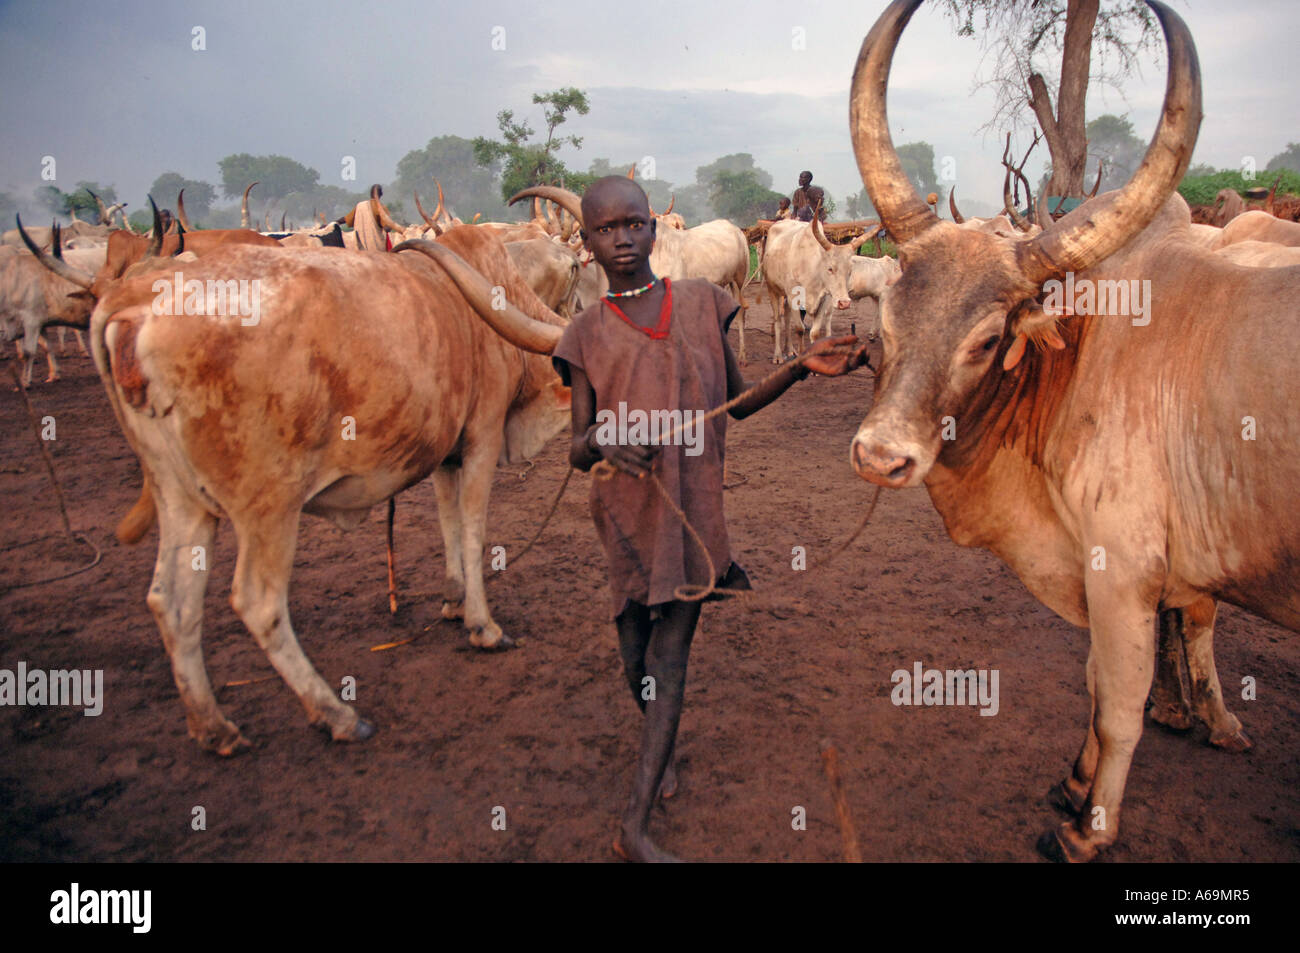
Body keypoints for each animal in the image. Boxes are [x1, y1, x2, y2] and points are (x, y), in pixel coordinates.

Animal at [28, 226, 572, 752]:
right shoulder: (482, 436)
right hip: (269, 506)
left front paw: (454, 601)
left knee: (172, 602)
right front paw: (483, 626)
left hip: (180, 498)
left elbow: (449, 526)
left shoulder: (445, 453)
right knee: (258, 603)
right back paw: (337, 715)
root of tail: (136, 299)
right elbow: (474, 530)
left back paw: (215, 728)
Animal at [846, 0, 1291, 863]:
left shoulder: (1123, 570)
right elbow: (1094, 680)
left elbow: (1117, 699)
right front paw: (1076, 782)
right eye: (886, 311)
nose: (882, 456)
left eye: (988, 338)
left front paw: (1089, 826)